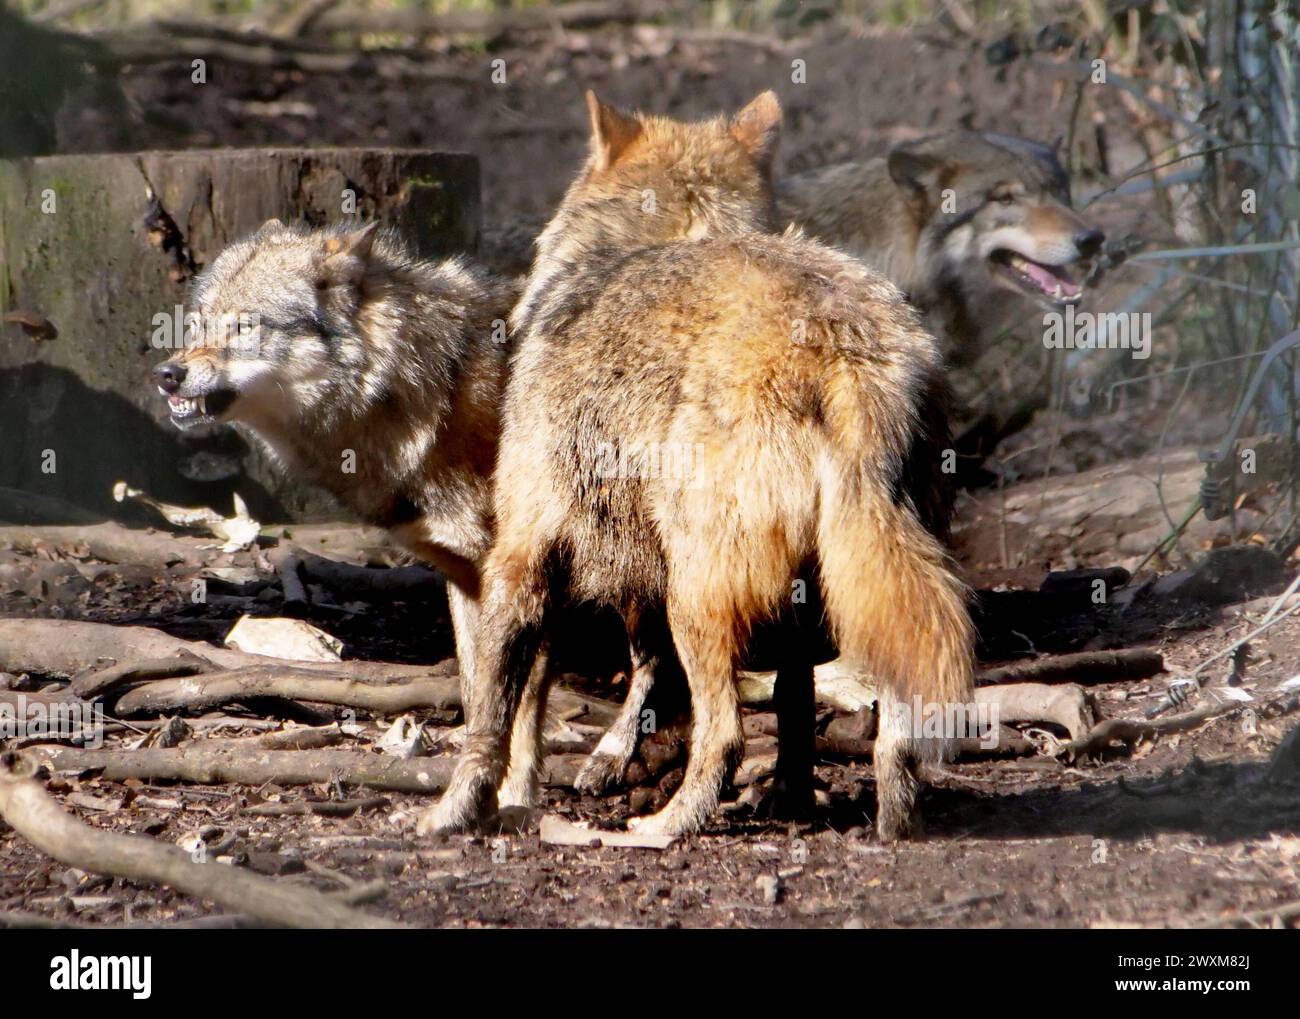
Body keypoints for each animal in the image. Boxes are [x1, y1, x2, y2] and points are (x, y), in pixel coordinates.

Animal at [422, 91, 975, 841]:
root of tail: (843, 345)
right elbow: (789, 702)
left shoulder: (522, 556)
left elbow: (489, 715)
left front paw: (456, 810)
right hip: (853, 584)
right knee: (889, 729)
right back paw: (886, 821)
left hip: (697, 594)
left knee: (726, 733)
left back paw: (664, 826)